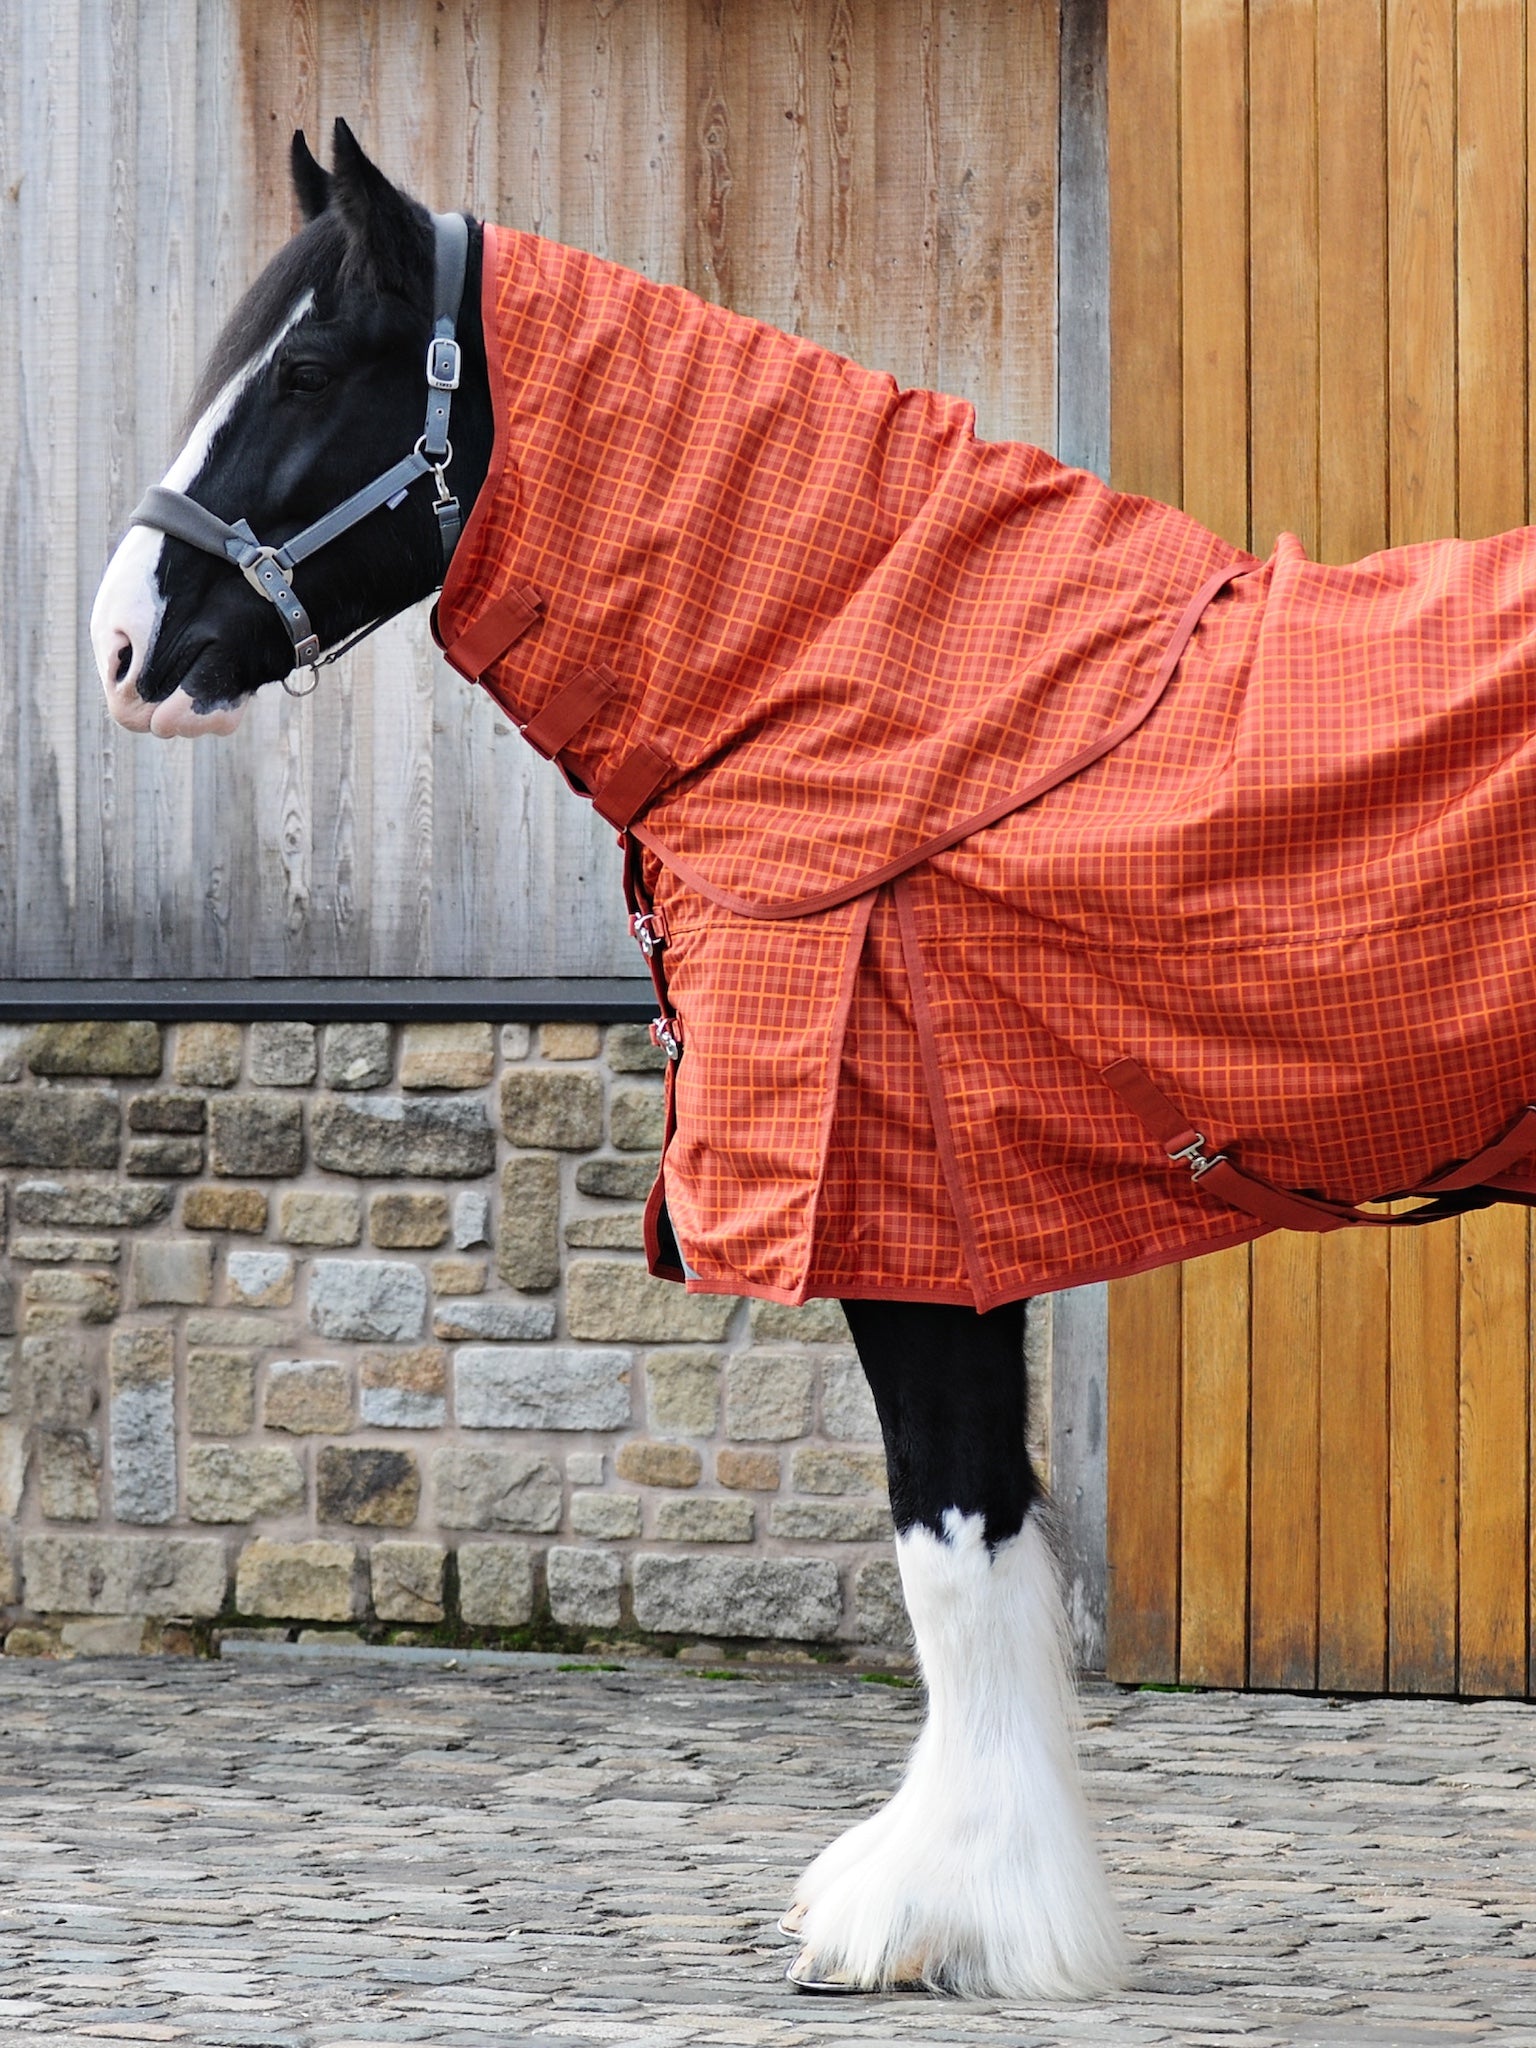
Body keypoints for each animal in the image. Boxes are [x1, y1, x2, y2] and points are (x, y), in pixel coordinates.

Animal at [93, 121, 1536, 2001]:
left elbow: (952, 1541)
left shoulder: (908, 1220)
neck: (889, 706)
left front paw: (944, 1915)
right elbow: (980, 1534)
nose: (120, 648)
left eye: (312, 369)